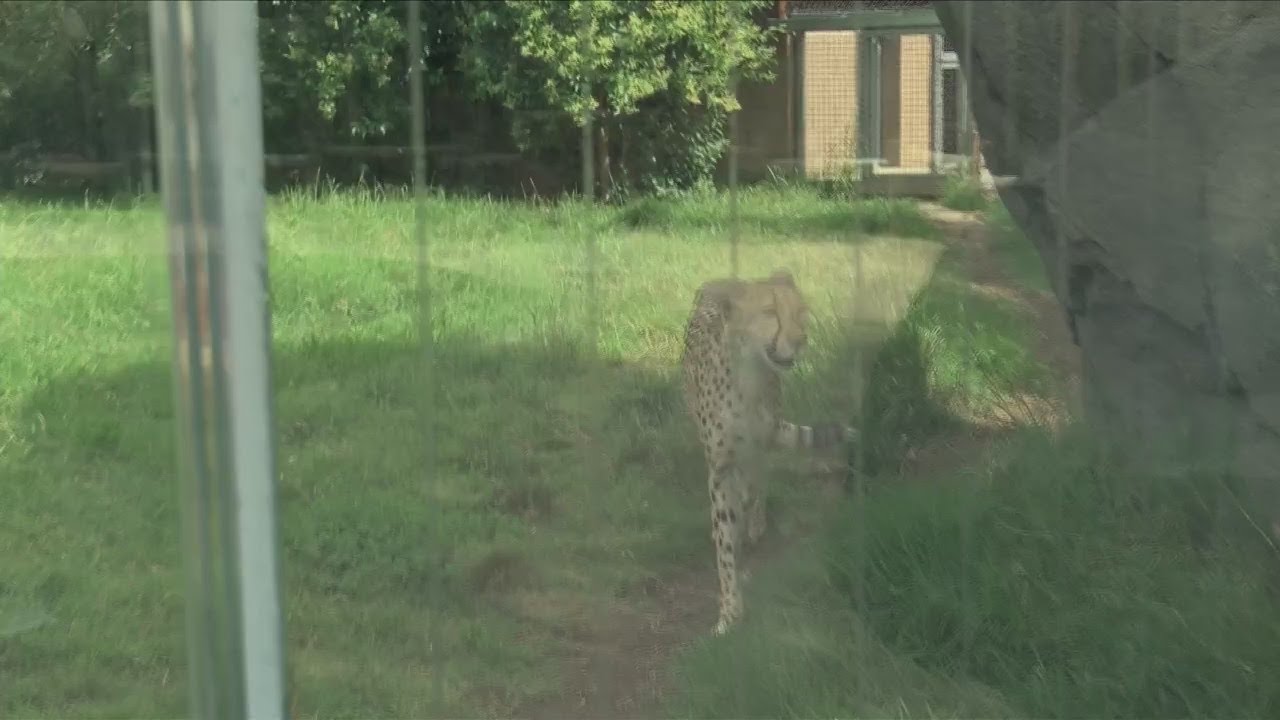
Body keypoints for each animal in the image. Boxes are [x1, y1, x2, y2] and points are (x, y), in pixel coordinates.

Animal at [680, 268, 855, 636]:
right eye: (770, 312)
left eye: (801, 312)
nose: (801, 339)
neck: (749, 379)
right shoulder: (722, 466)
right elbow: (725, 538)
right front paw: (730, 609)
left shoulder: (760, 442)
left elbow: (753, 490)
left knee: (759, 479)